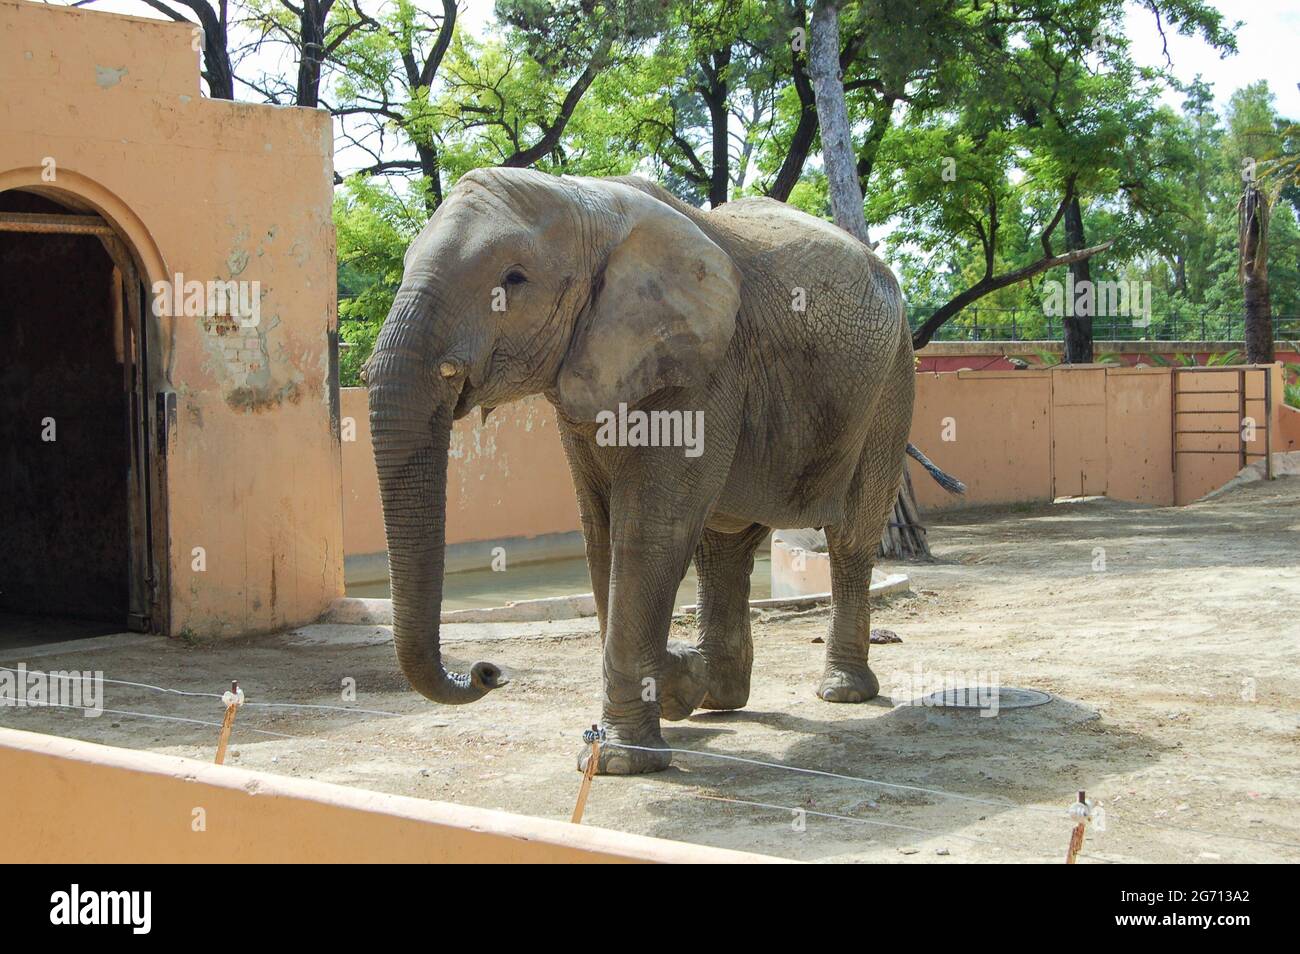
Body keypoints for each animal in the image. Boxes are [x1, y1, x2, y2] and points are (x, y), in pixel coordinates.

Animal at [366, 166, 941, 775]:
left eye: (514, 279)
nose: (487, 672)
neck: (587, 198)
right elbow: (600, 532)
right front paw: (676, 688)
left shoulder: (703, 366)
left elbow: (648, 531)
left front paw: (621, 759)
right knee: (724, 543)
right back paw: (718, 696)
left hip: (893, 381)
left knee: (850, 535)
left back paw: (841, 692)